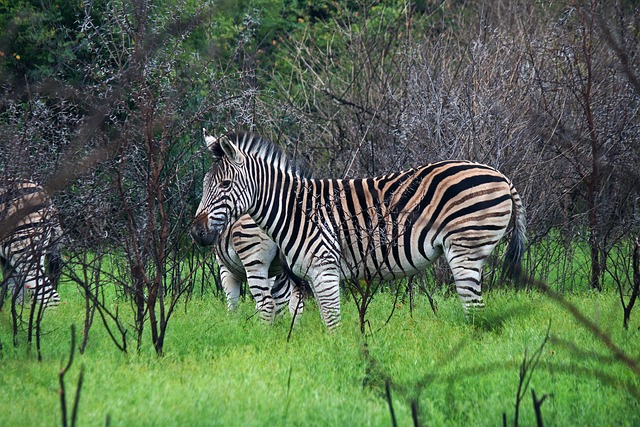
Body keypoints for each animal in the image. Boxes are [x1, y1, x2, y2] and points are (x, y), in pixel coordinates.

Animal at [191, 131, 526, 329]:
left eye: (225, 185)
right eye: (205, 184)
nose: (196, 233)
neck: (294, 210)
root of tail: (500, 175)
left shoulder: (324, 269)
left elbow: (332, 323)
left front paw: (339, 360)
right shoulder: (309, 273)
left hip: (465, 250)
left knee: (475, 308)